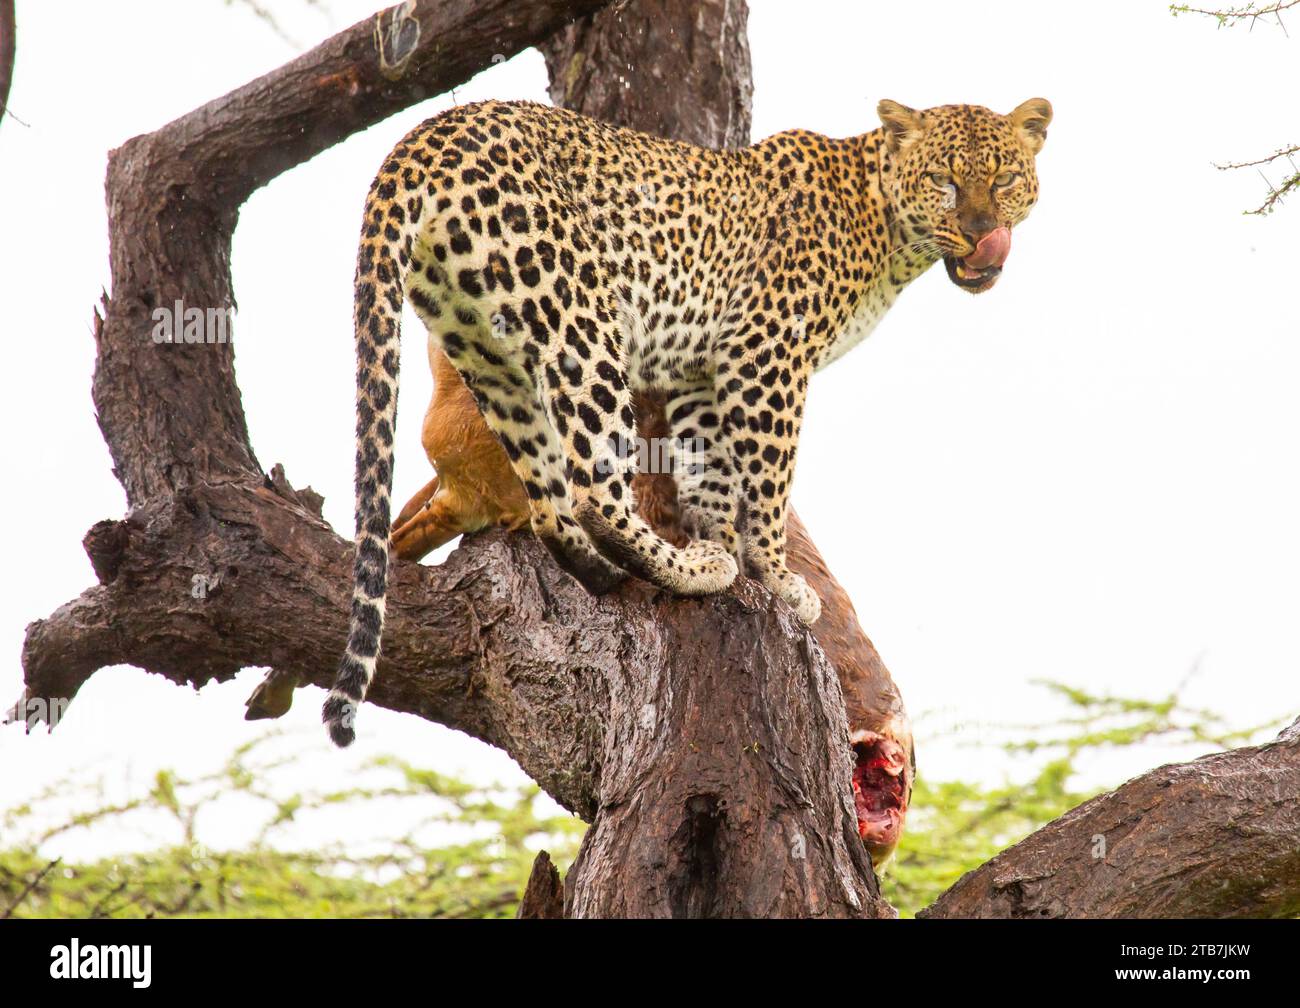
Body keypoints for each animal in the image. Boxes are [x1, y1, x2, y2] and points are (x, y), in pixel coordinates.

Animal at [323, 96, 1052, 747]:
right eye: (945, 181)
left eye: (1005, 180)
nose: (982, 230)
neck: (890, 233)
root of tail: (418, 139)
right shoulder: (766, 352)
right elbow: (768, 479)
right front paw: (776, 580)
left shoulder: (699, 372)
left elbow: (710, 469)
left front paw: (723, 547)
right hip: (580, 320)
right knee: (595, 491)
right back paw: (679, 569)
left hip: (487, 352)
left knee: (553, 503)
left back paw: (619, 572)